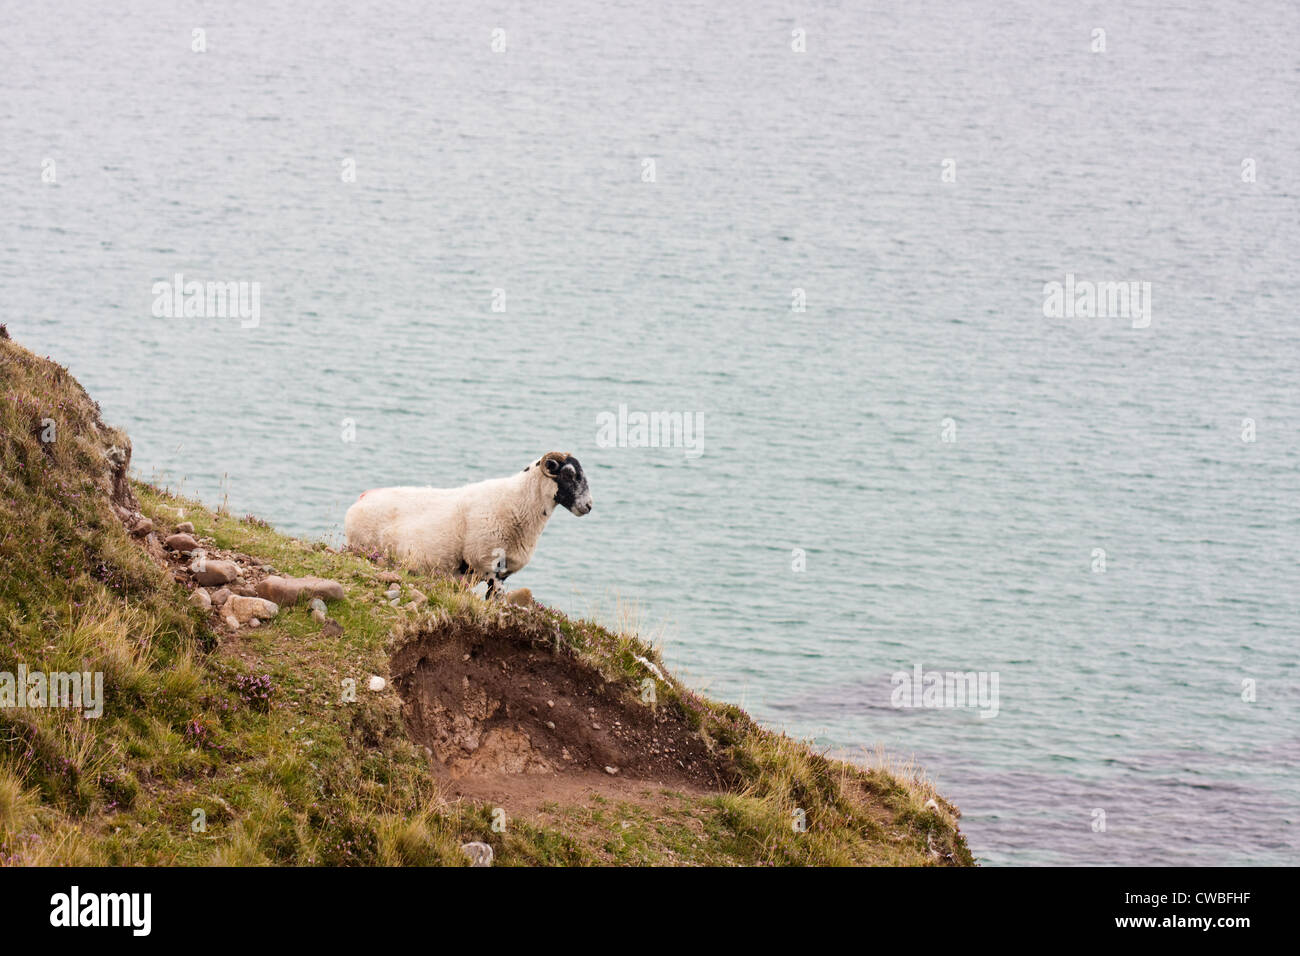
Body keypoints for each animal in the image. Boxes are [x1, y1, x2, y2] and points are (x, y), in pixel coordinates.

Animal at [344, 452, 593, 597]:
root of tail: (362, 498)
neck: (516, 502)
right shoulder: (487, 565)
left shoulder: (502, 572)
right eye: (568, 475)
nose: (588, 505)